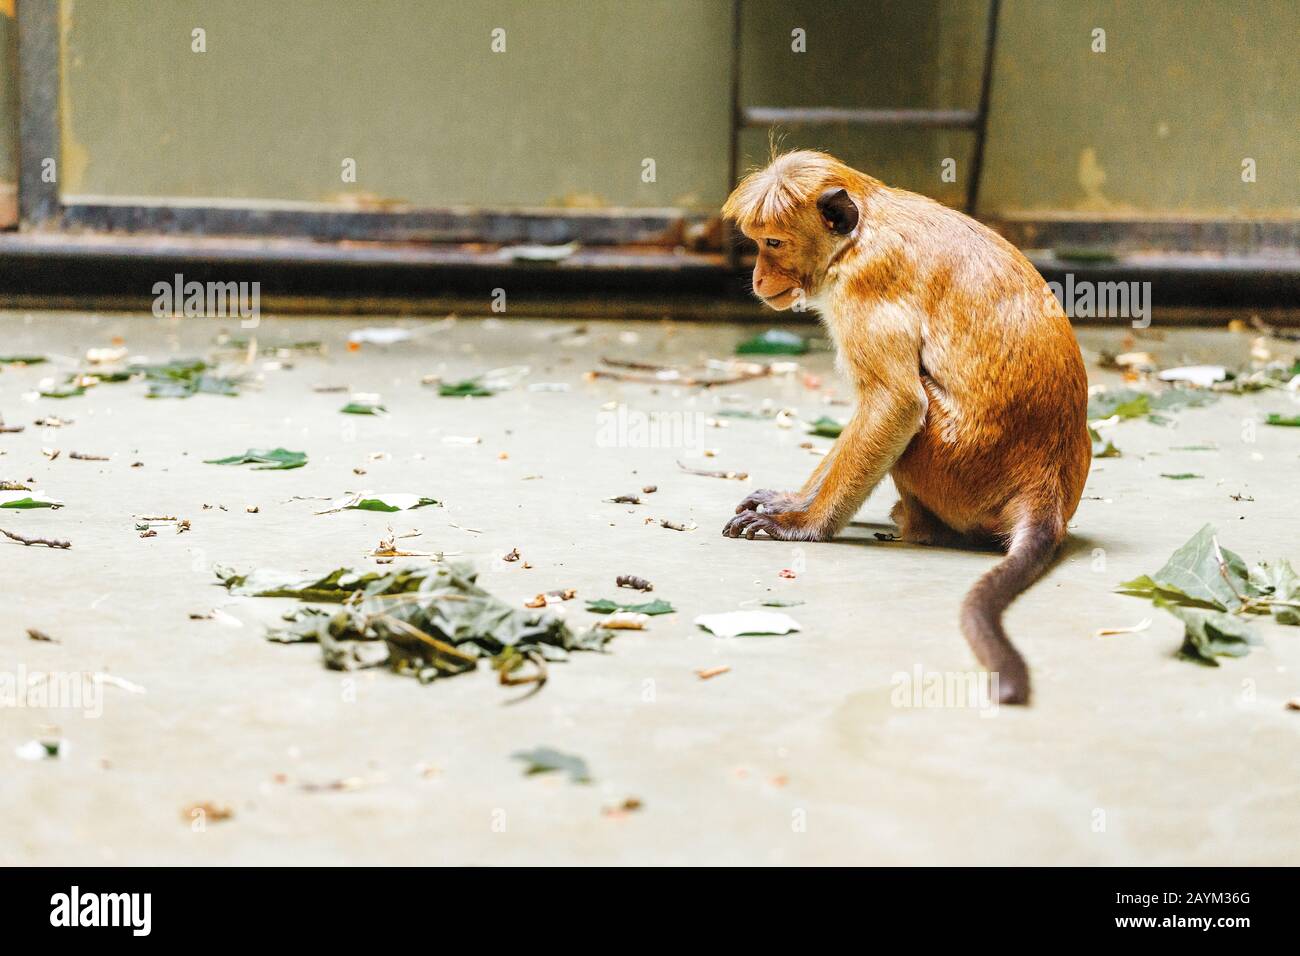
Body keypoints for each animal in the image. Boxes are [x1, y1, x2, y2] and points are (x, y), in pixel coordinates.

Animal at [720, 150, 1091, 705]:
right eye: (760, 243)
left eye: (774, 243)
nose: (760, 280)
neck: (863, 229)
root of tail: (1043, 484)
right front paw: (789, 500)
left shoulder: (864, 287)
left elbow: (894, 405)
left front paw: (801, 524)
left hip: (956, 462)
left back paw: (919, 527)